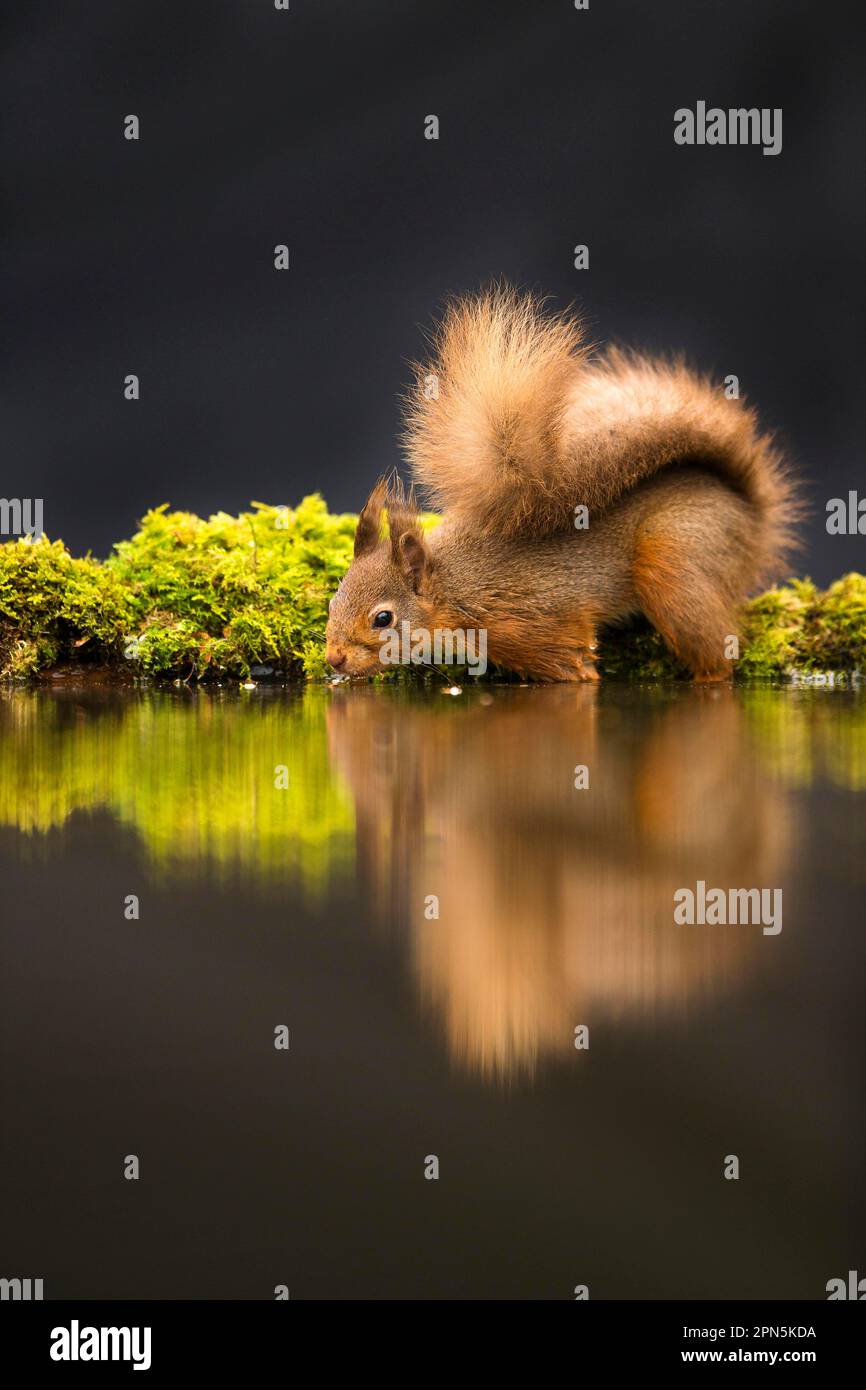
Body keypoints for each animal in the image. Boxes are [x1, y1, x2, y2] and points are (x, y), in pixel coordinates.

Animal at [325, 287, 799, 682]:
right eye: (332, 599)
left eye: (383, 619)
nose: (333, 658)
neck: (453, 587)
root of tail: (750, 512)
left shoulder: (531, 622)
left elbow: (570, 662)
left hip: (679, 559)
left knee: (718, 656)